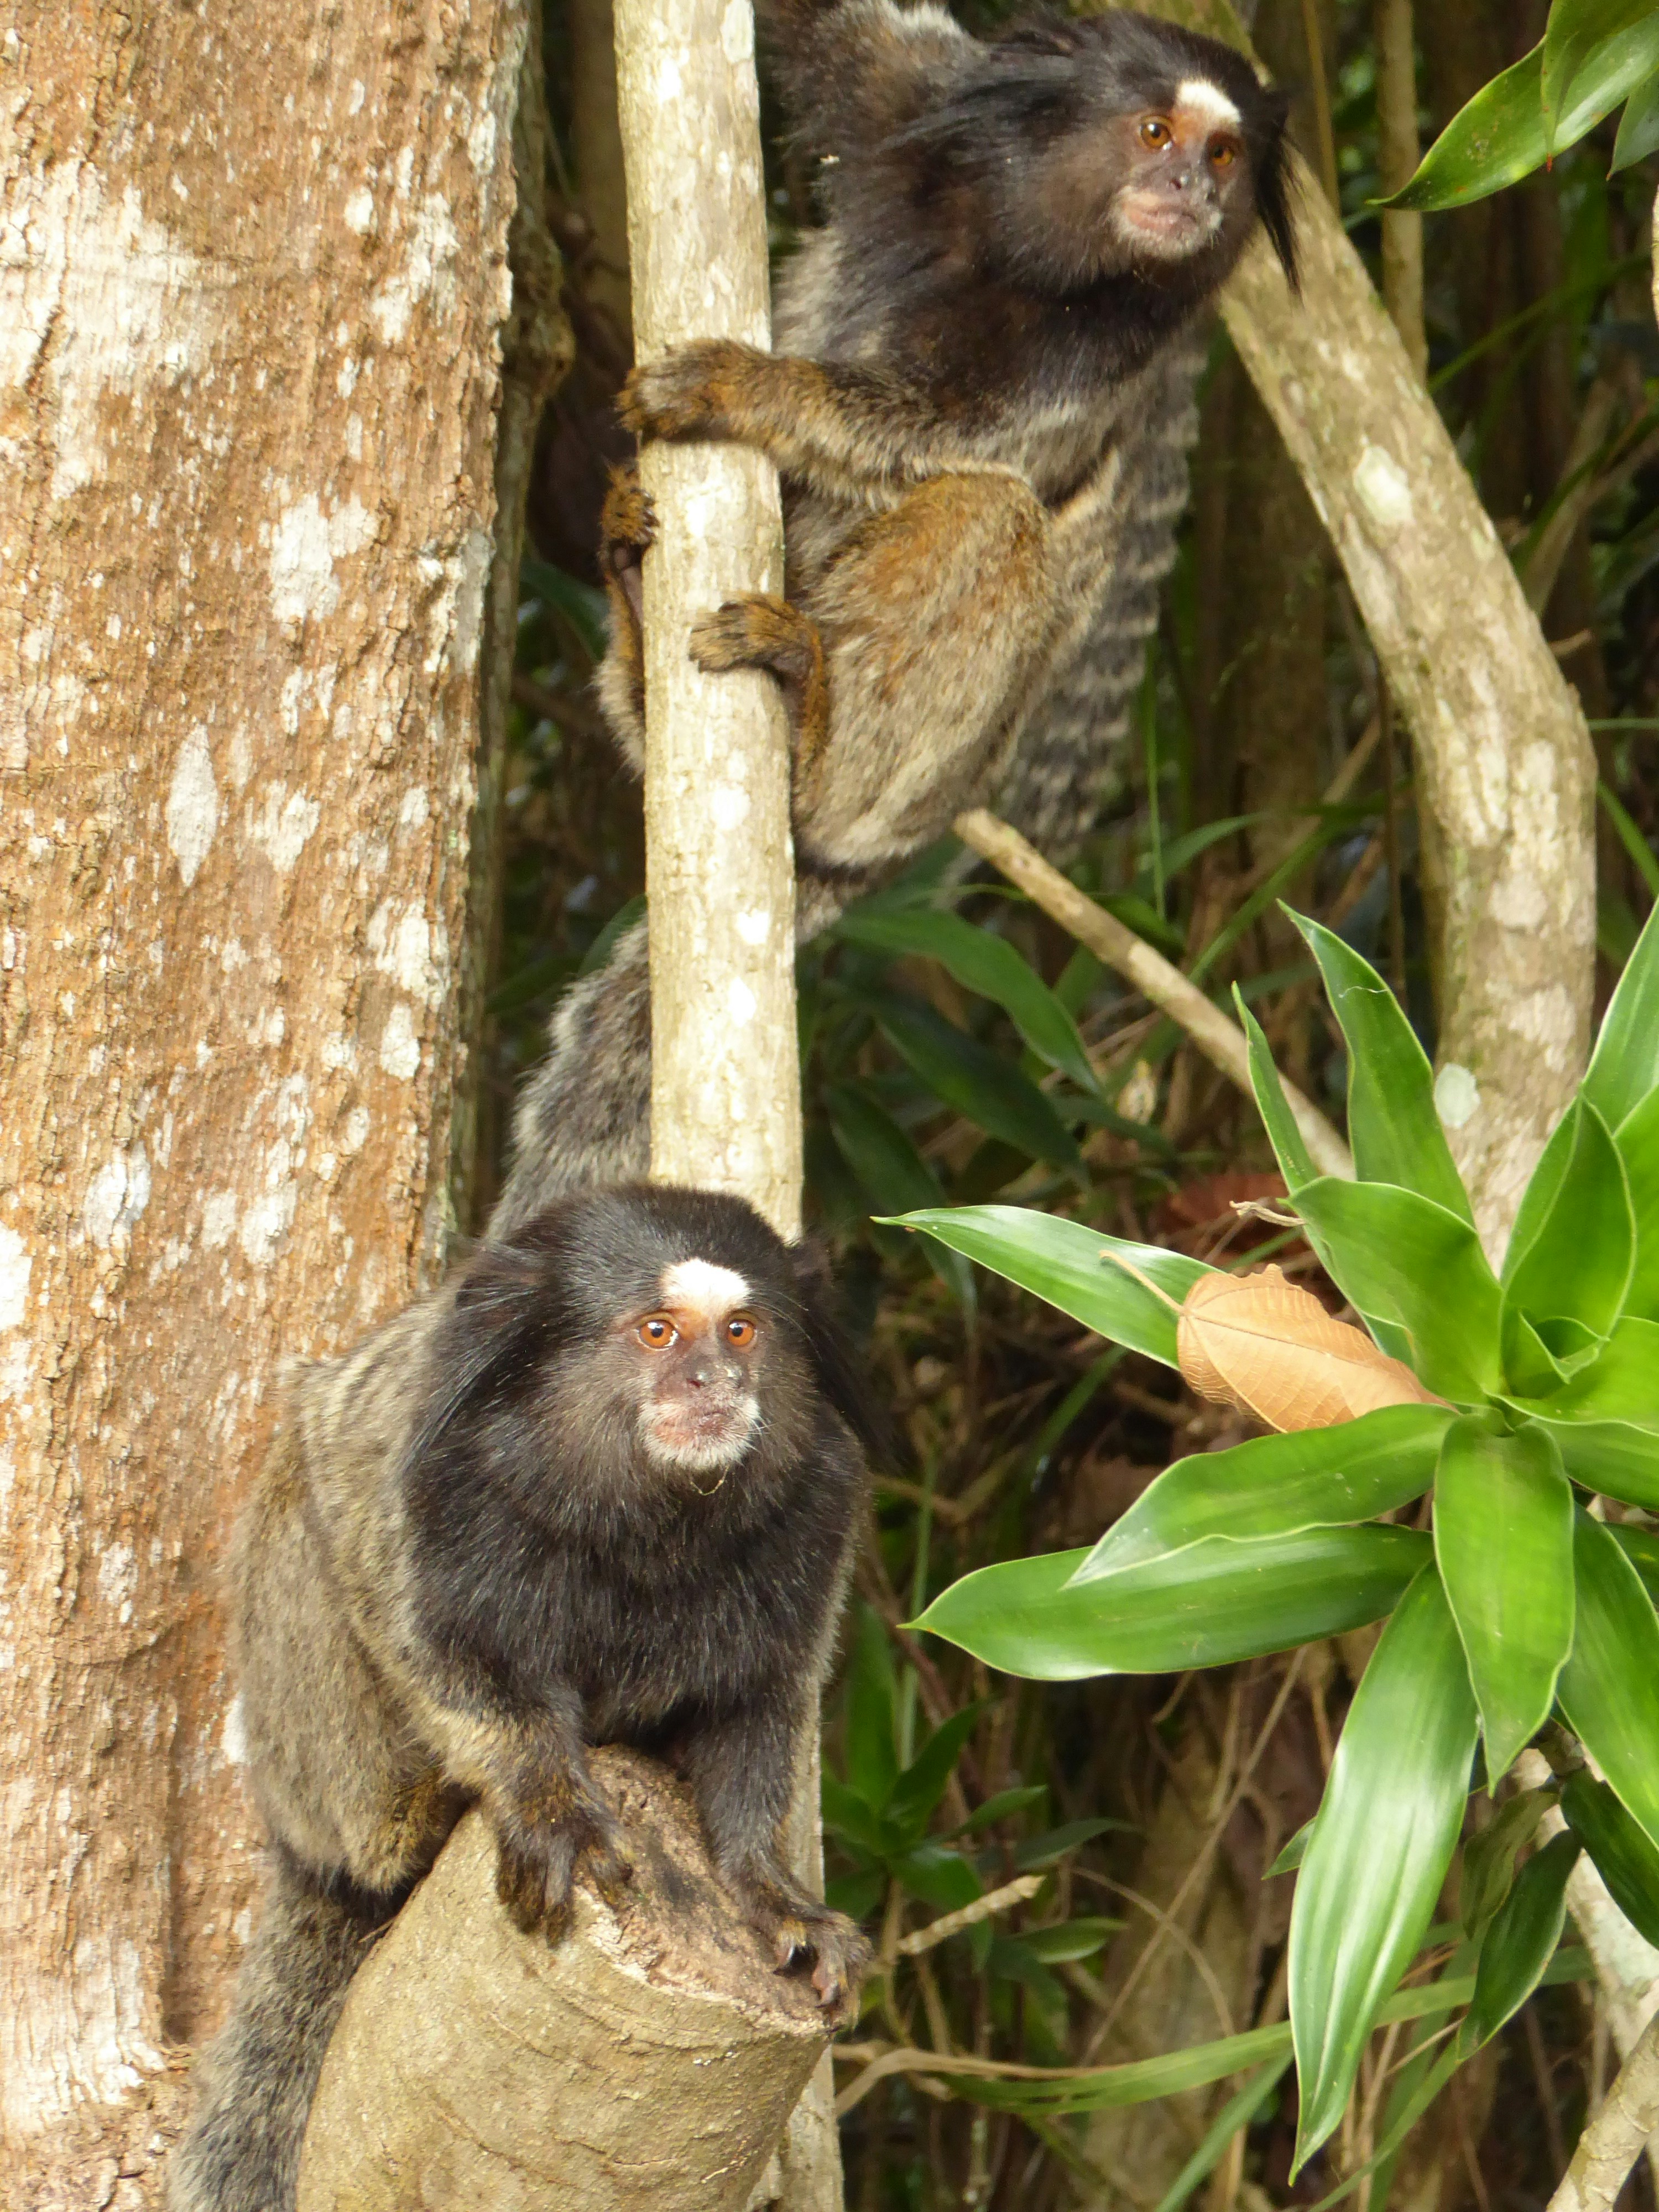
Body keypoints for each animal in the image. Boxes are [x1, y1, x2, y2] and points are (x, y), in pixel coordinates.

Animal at [170, 1184, 878, 2212]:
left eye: (743, 1331)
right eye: (658, 1331)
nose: (713, 1381)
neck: (650, 1521)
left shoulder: (816, 1518)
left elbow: (760, 1712)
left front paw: (765, 1887)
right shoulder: (430, 1478)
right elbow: (433, 1638)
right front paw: (547, 1804)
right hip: (301, 1751)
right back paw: (409, 1823)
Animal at [488, 1, 1296, 1236]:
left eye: (1224, 157)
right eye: (1156, 133)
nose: (1190, 193)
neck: (1025, 243)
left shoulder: (1095, 355)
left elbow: (934, 436)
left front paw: (746, 389)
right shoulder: (900, 100)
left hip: (927, 780)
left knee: (992, 518)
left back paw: (812, 724)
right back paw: (628, 606)